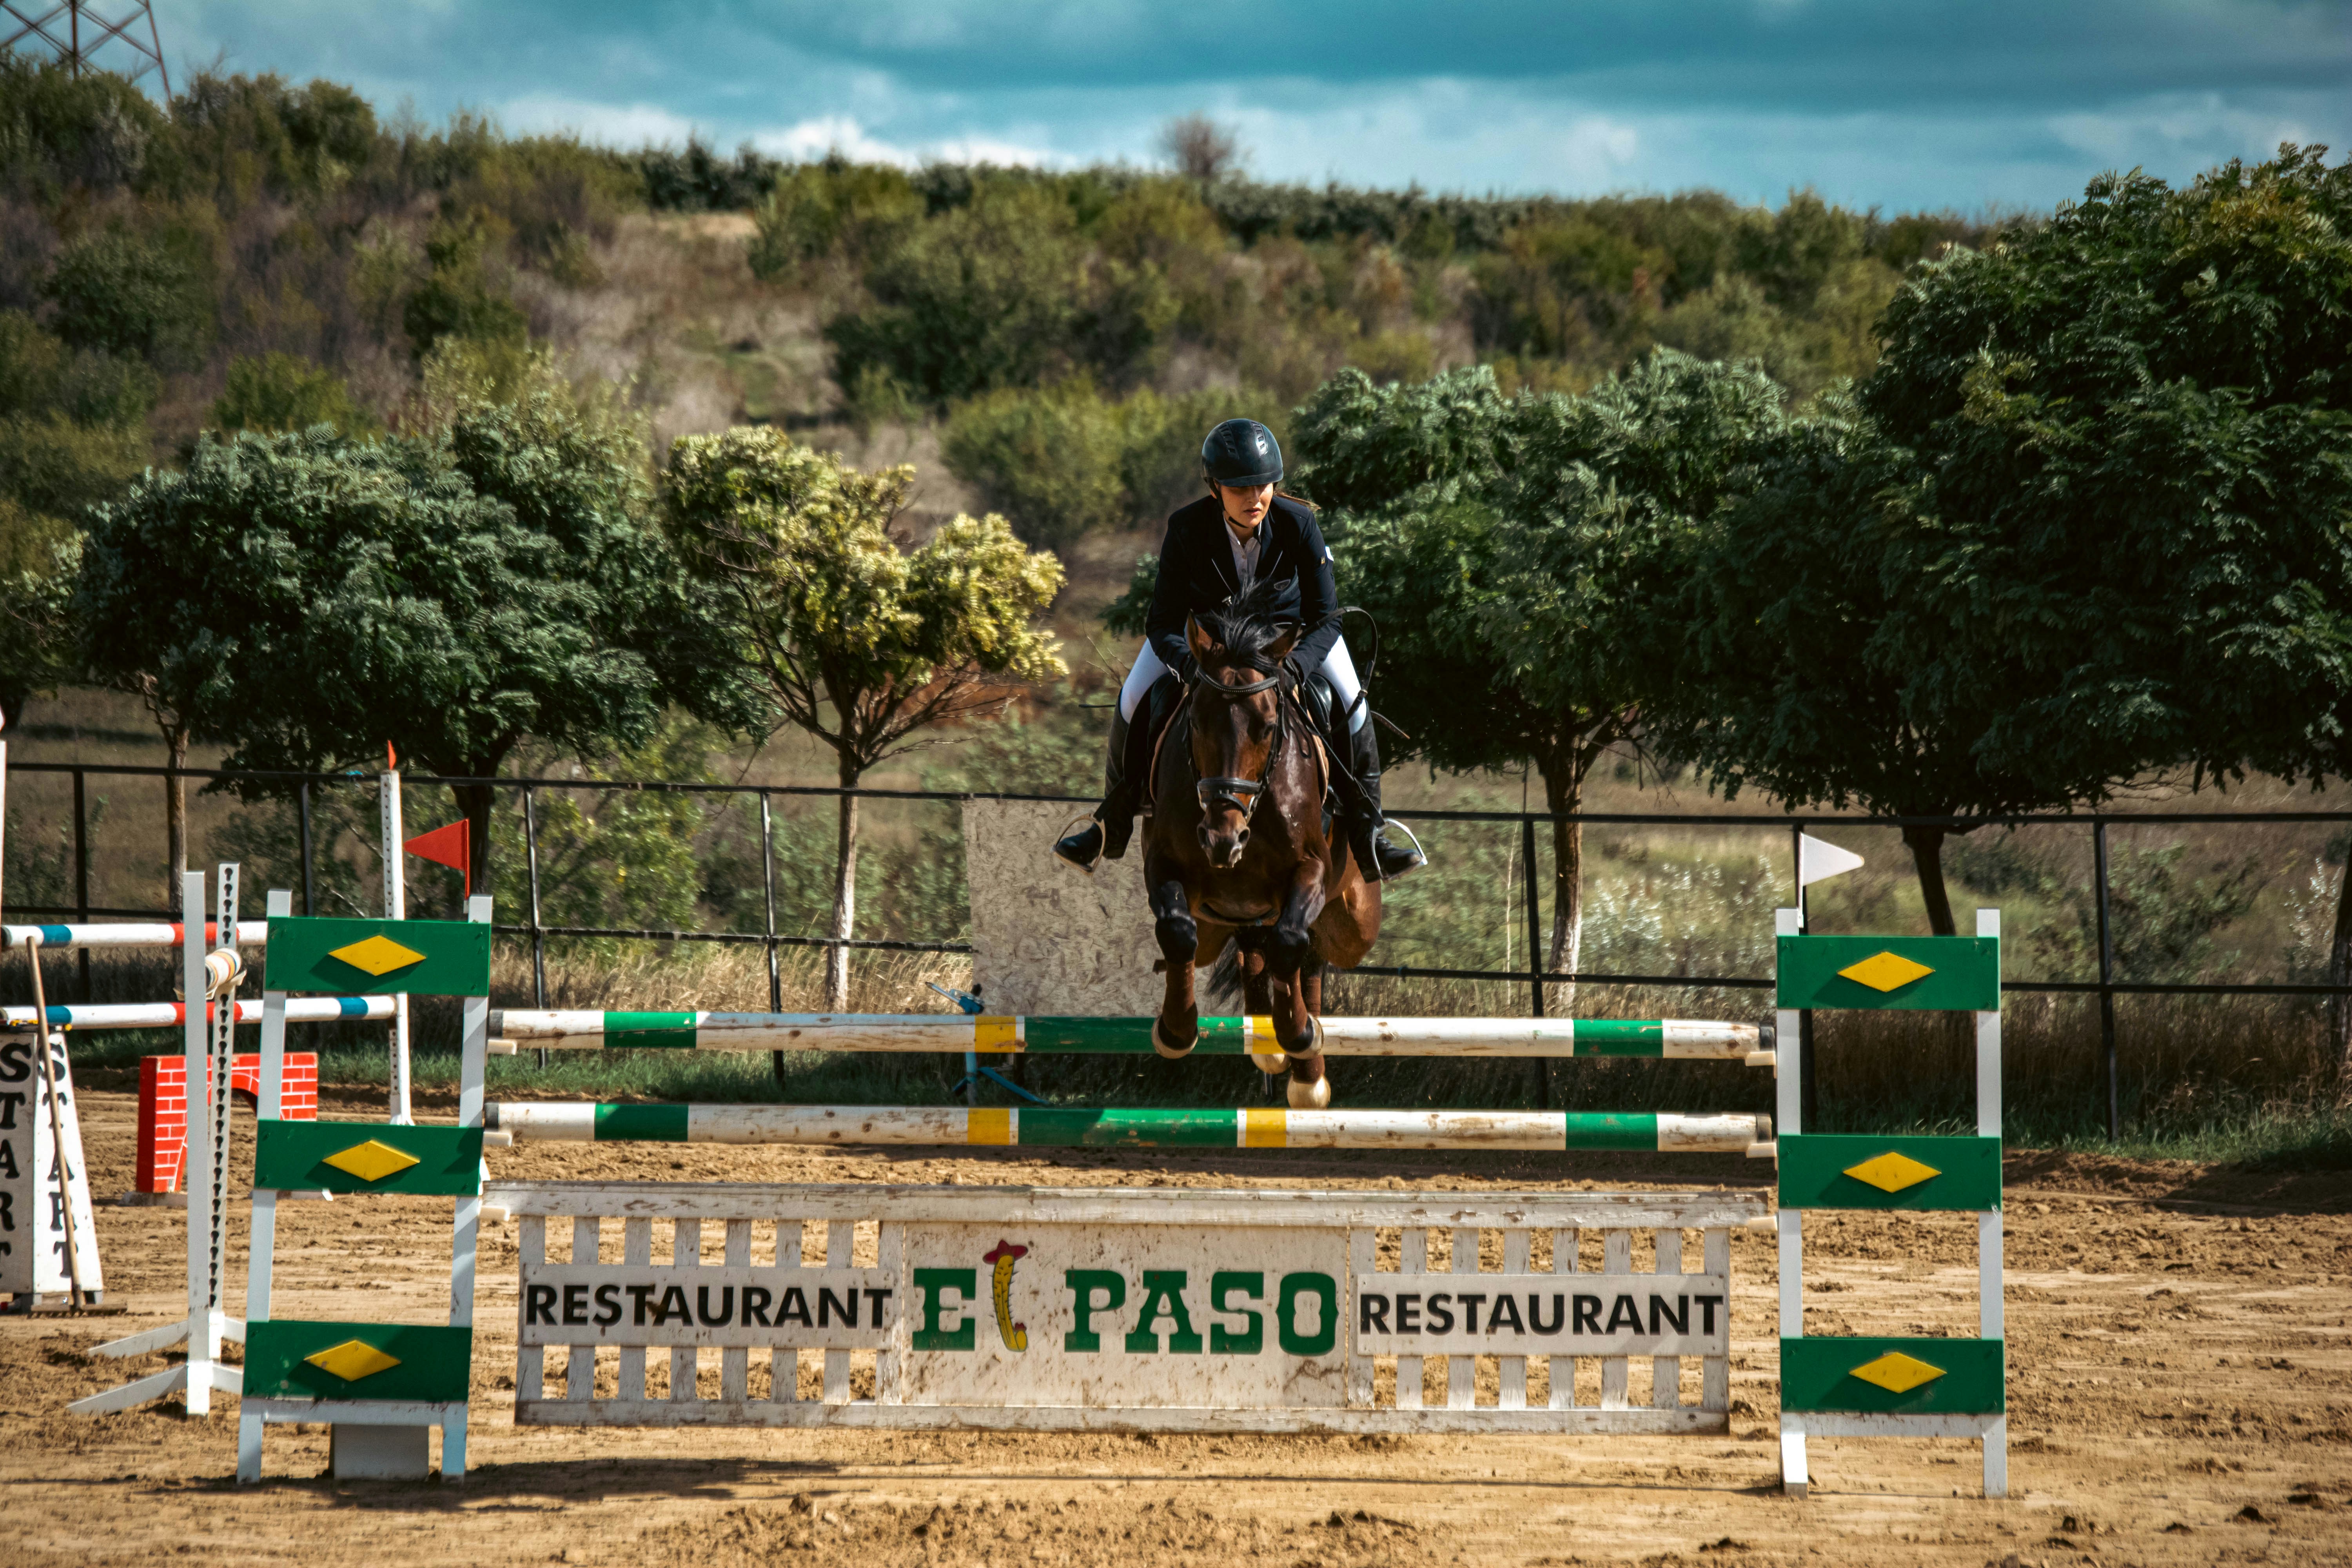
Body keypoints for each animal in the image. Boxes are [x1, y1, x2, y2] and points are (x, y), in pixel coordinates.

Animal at [1140, 582, 1381, 1108]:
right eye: (1195, 721)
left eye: (1269, 726)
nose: (1222, 840)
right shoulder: (1164, 864)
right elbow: (1177, 932)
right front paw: (1175, 1030)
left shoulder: (1310, 870)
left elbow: (1290, 940)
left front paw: (1299, 1035)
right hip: (1227, 918)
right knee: (1249, 946)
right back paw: (1270, 1047)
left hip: (1355, 921)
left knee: (1309, 953)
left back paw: (1307, 1073)